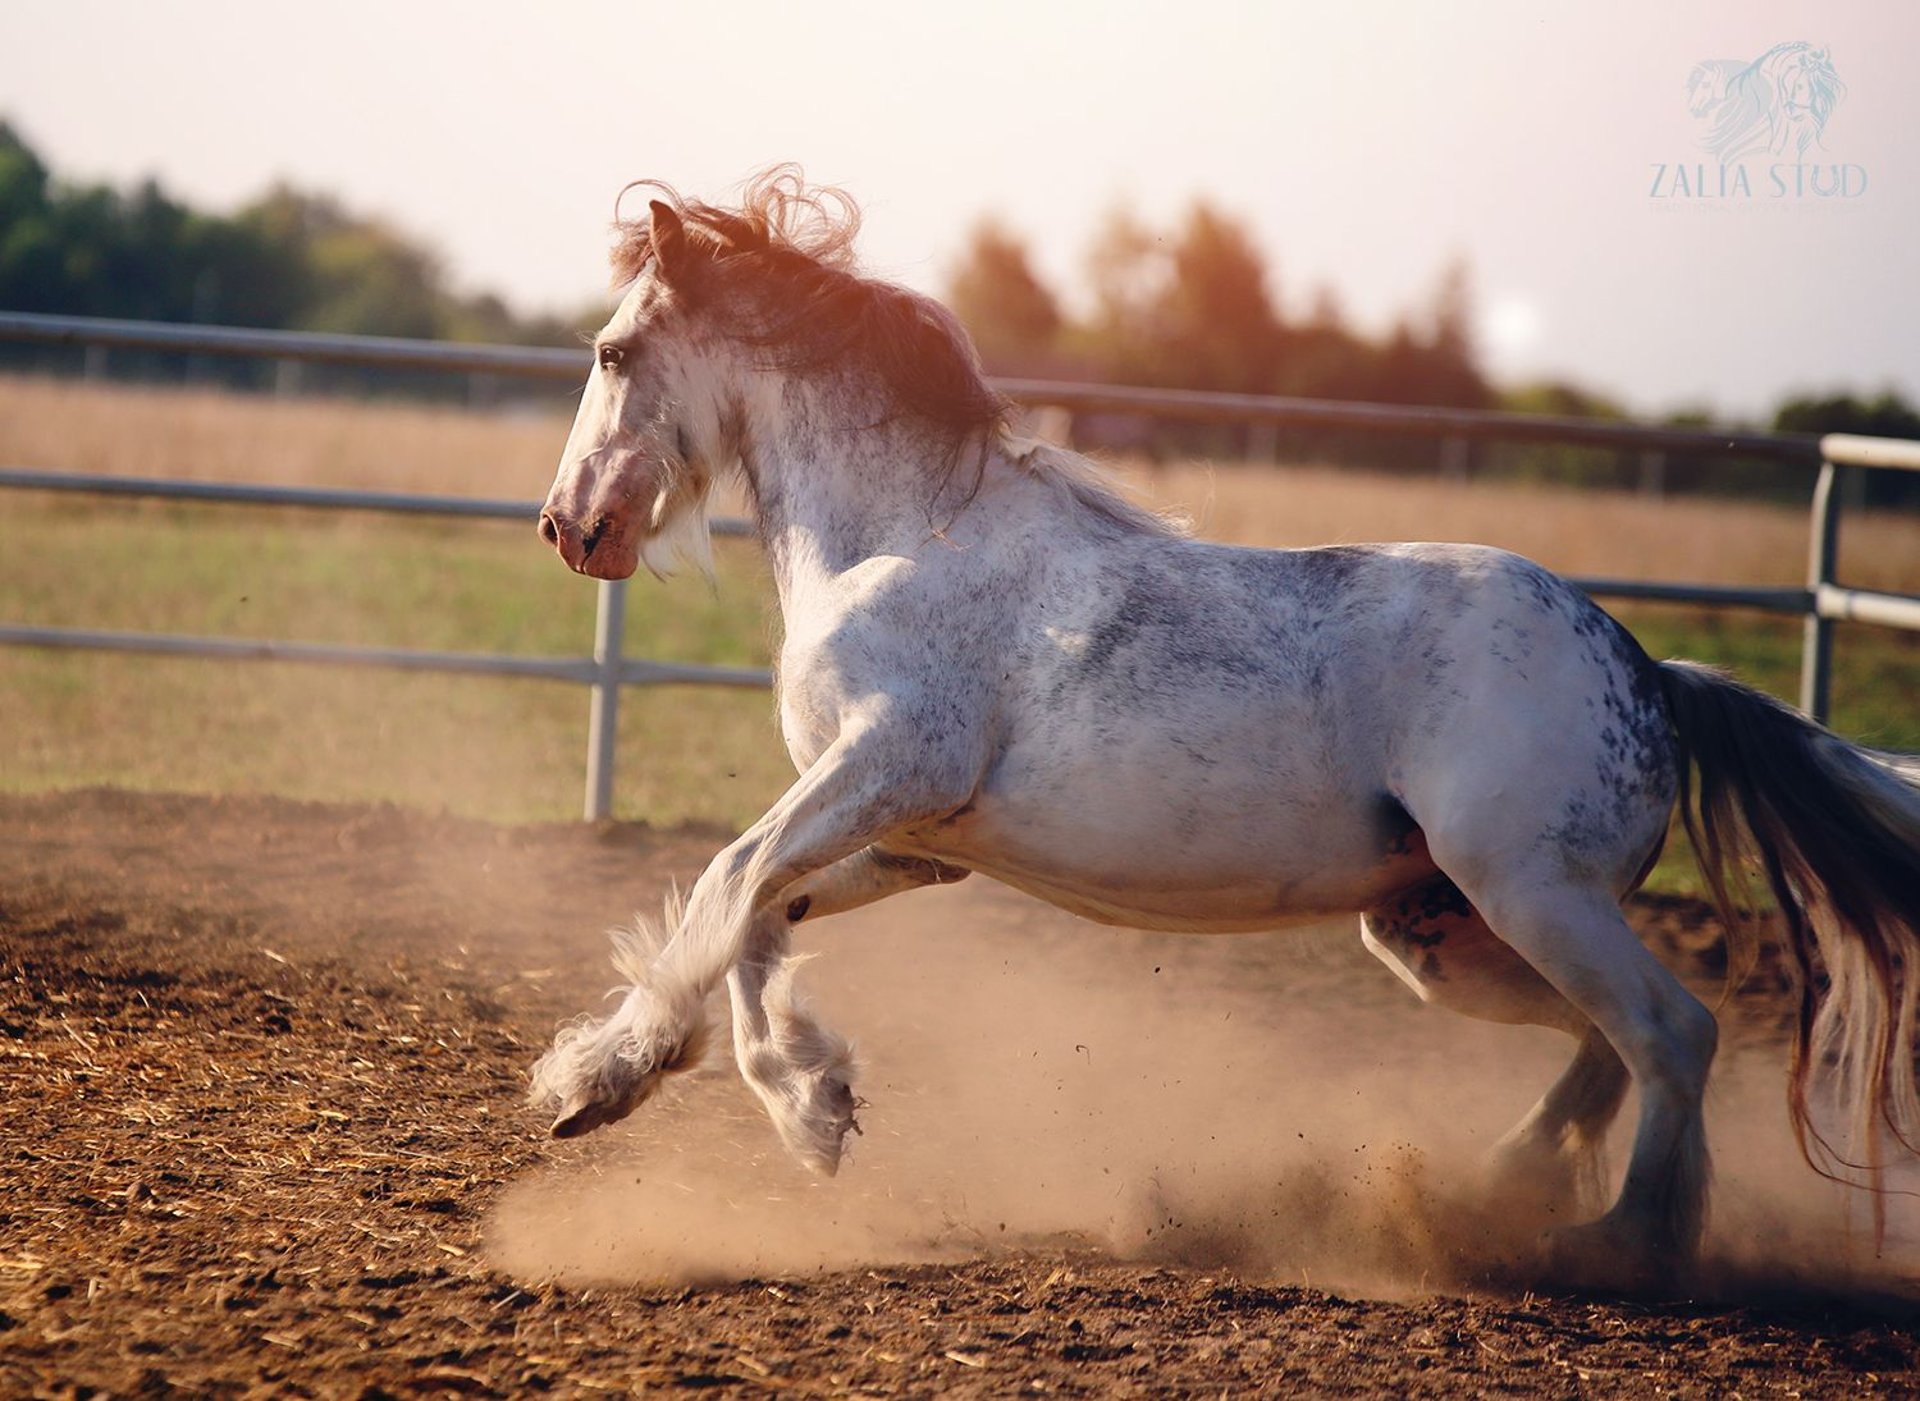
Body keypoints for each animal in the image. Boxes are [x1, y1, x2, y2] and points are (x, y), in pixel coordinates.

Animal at [528, 169, 1920, 1288]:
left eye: (609, 353)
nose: (566, 527)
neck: (897, 540)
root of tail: (1649, 671)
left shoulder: (887, 762)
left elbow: (728, 878)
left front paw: (627, 1087)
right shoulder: (920, 837)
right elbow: (757, 911)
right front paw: (785, 1103)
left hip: (1533, 893)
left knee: (1674, 1033)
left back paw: (1619, 1245)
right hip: (1437, 933)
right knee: (1607, 1045)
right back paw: (1498, 1193)